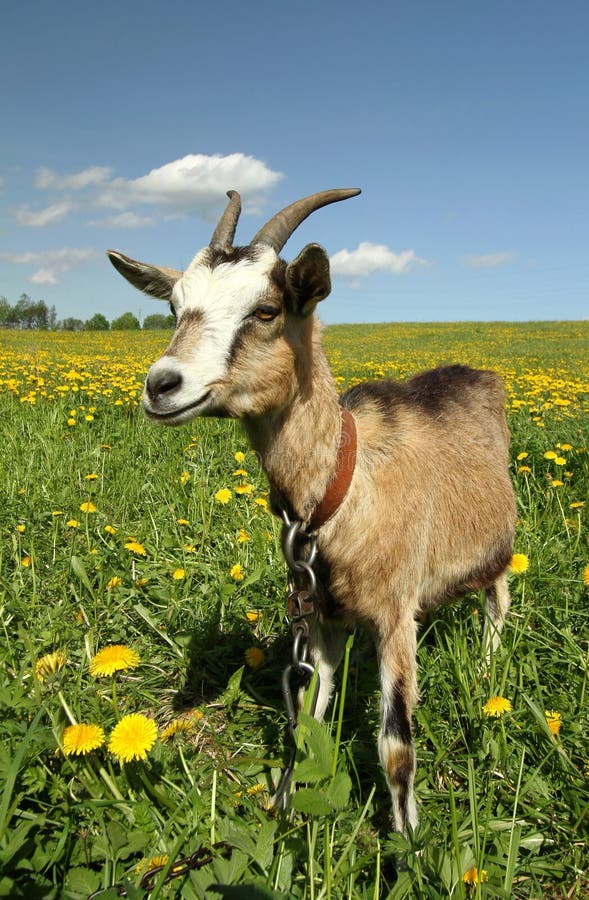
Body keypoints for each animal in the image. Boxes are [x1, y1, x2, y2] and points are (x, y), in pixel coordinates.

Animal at [107, 189, 517, 834]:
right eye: (174, 306)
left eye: (267, 310)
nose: (162, 385)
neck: (341, 485)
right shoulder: (319, 615)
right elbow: (309, 714)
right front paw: (286, 802)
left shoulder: (396, 611)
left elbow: (395, 744)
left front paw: (409, 841)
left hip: (496, 547)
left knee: (497, 601)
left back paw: (486, 665)